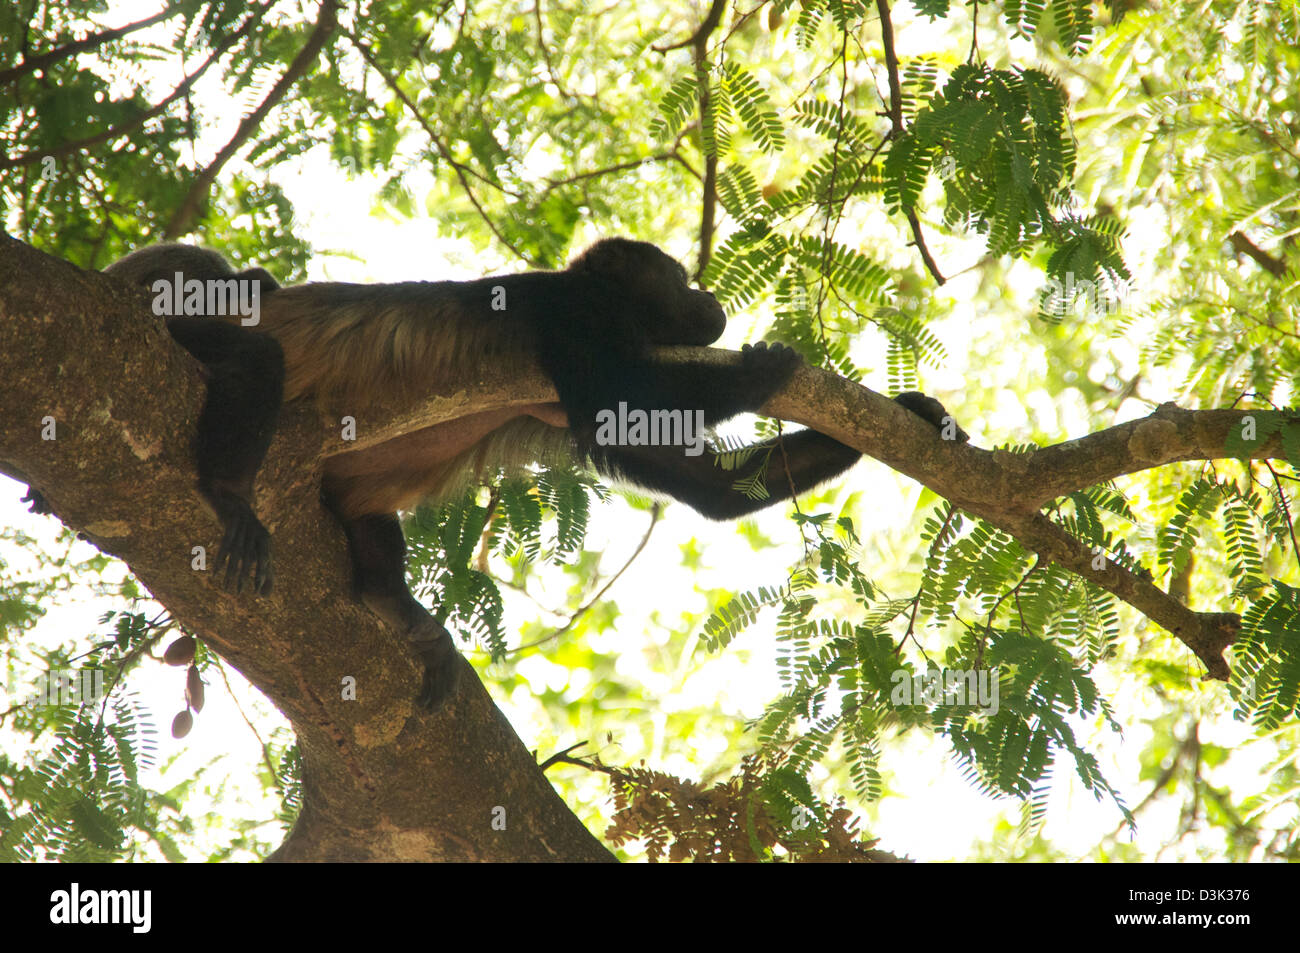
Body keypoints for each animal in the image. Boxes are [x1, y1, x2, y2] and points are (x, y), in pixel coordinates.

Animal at [100, 239, 966, 710]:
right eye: (677, 276)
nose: (709, 293)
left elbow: (713, 488)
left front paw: (916, 413)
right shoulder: (569, 314)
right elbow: (619, 399)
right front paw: (764, 373)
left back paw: (391, 602)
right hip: (189, 330)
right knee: (255, 354)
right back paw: (228, 496)